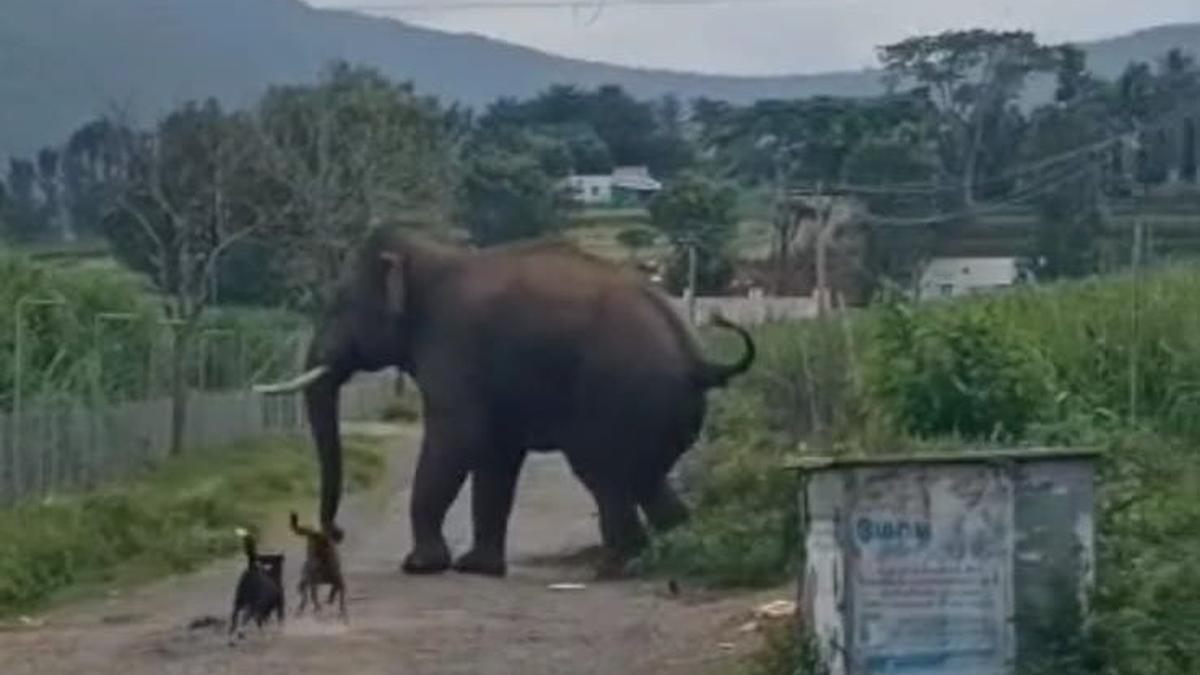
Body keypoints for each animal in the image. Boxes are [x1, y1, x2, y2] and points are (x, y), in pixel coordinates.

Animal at [255, 226, 755, 578]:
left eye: (339, 303)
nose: (336, 532)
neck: (431, 255)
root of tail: (698, 360)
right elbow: (496, 455)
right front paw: (477, 568)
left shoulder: (454, 348)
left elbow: (457, 439)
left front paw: (420, 566)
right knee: (647, 480)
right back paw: (667, 556)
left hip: (620, 400)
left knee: (605, 475)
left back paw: (614, 568)